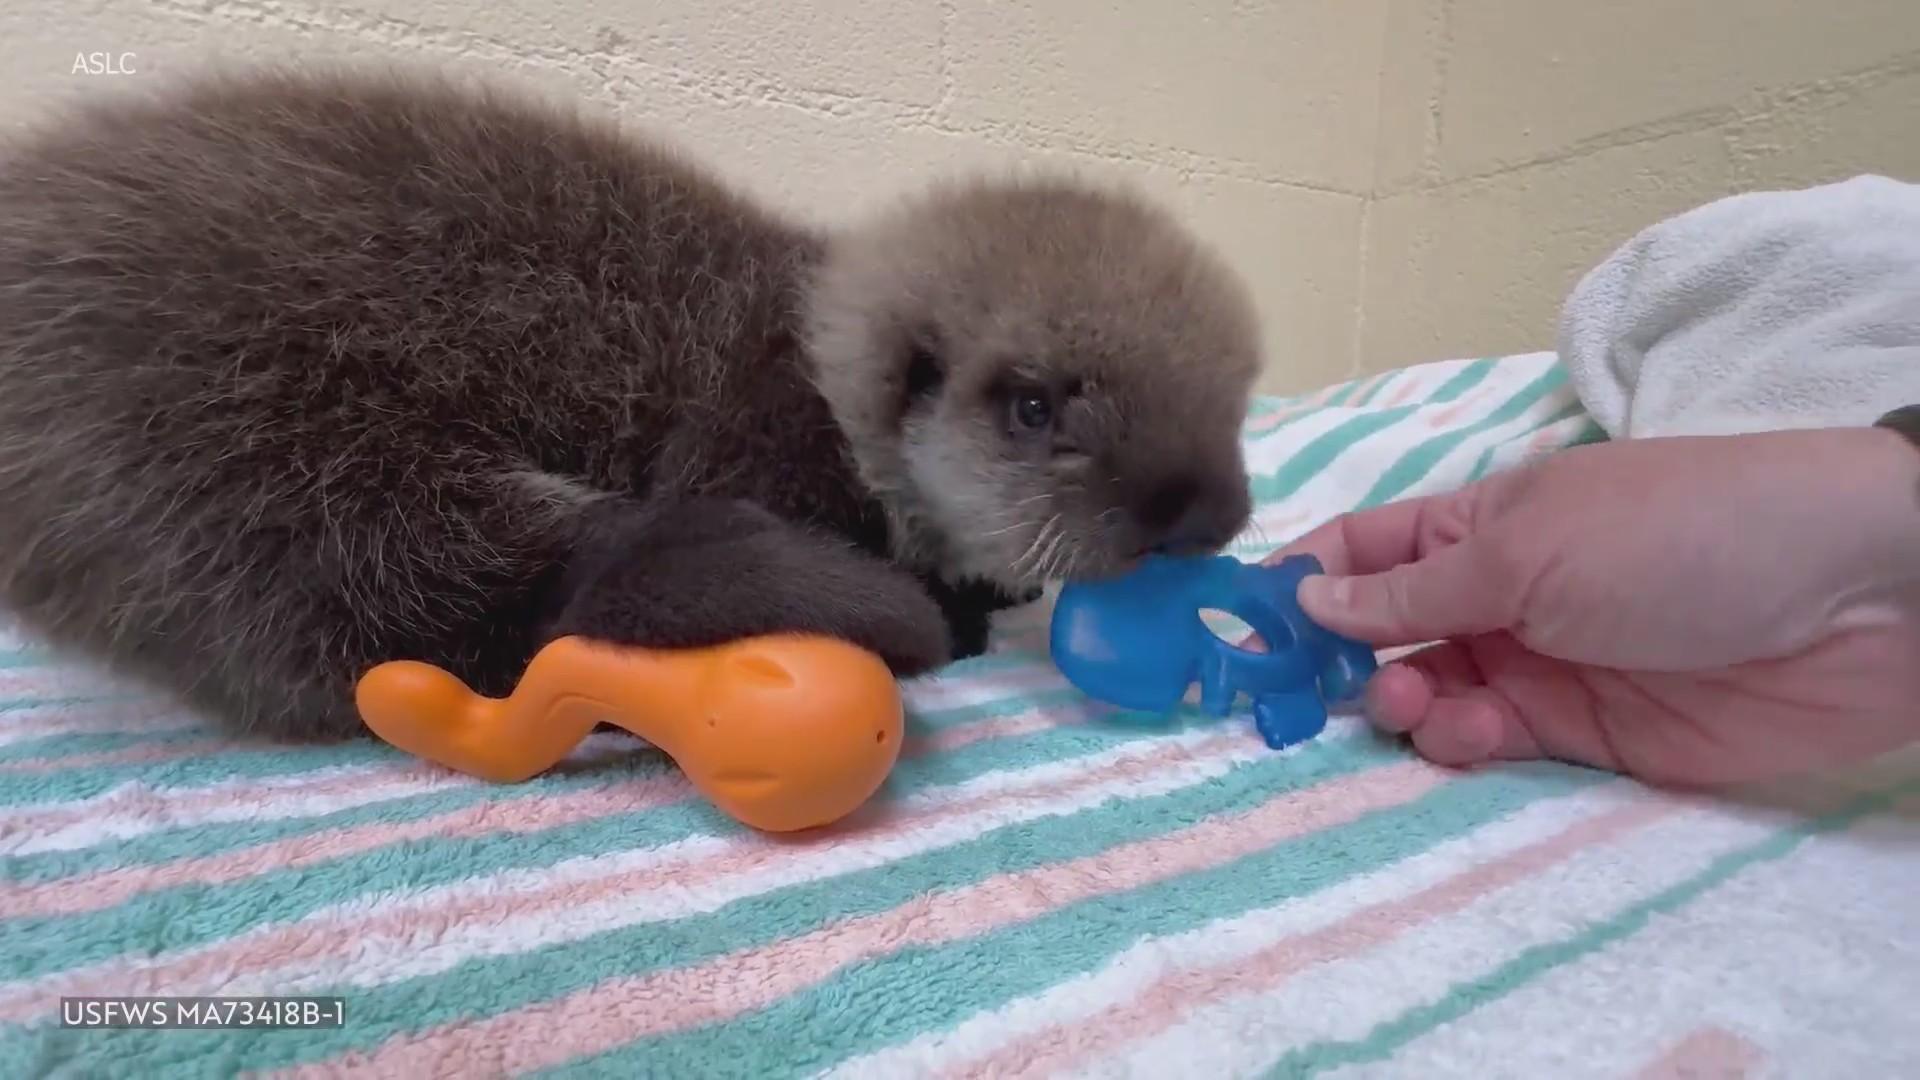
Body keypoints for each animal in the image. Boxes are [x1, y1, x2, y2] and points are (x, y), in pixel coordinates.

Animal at [0, 65, 1265, 742]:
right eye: (1038, 409)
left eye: (1242, 393)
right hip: (242, 436)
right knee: (493, 593)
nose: (1202, 511)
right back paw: (874, 613)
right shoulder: (761, 435)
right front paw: (952, 602)